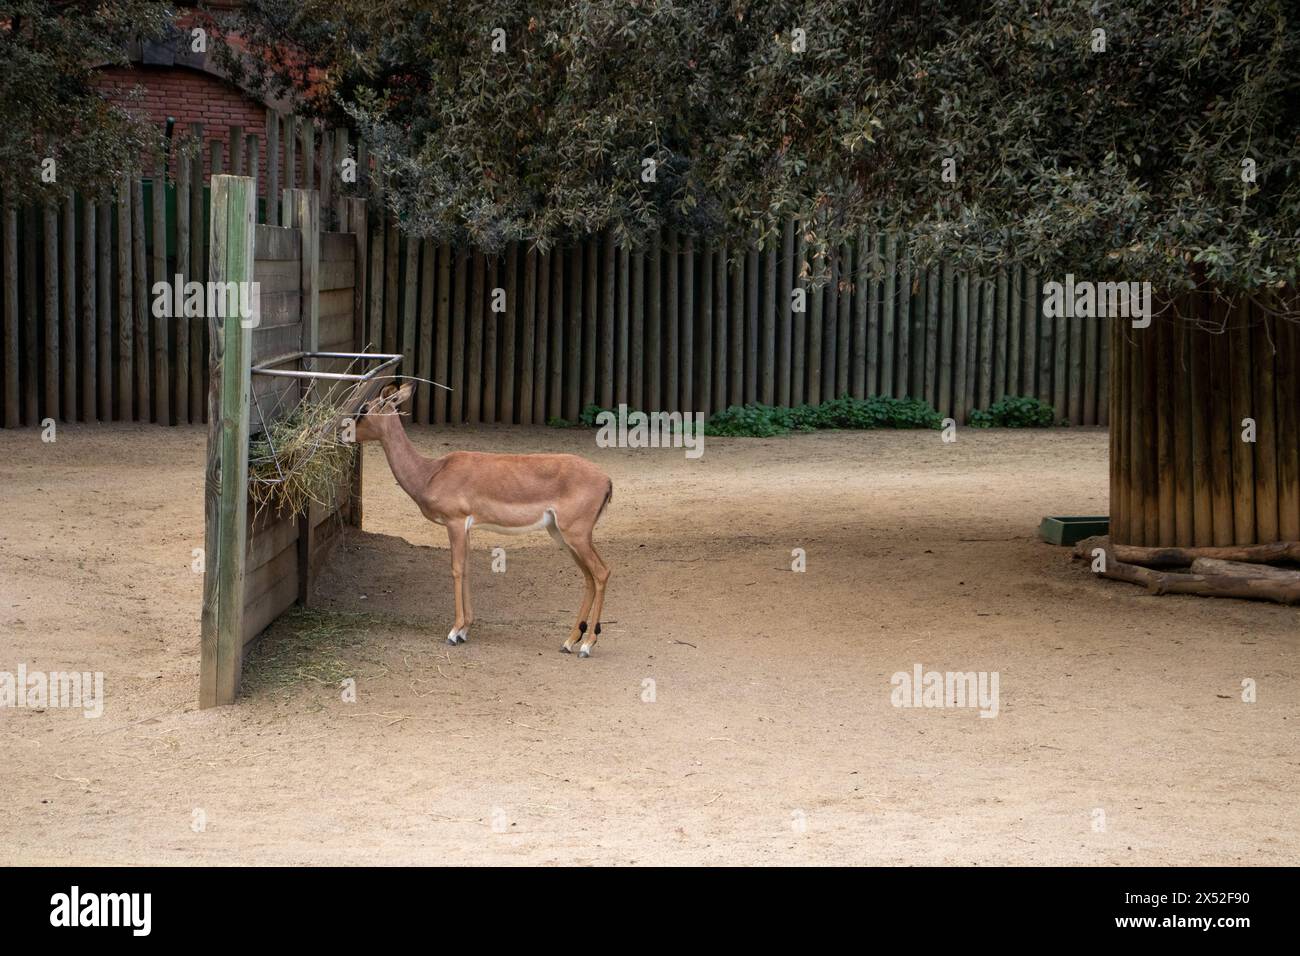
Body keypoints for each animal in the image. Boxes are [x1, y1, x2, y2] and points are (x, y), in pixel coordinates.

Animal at [352, 383, 614, 657]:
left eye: (364, 409)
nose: (344, 433)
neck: (430, 473)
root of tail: (606, 479)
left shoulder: (455, 523)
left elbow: (456, 569)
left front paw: (453, 632)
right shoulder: (467, 528)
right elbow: (467, 569)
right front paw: (464, 630)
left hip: (575, 534)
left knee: (601, 572)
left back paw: (586, 645)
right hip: (562, 535)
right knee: (589, 577)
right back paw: (569, 641)